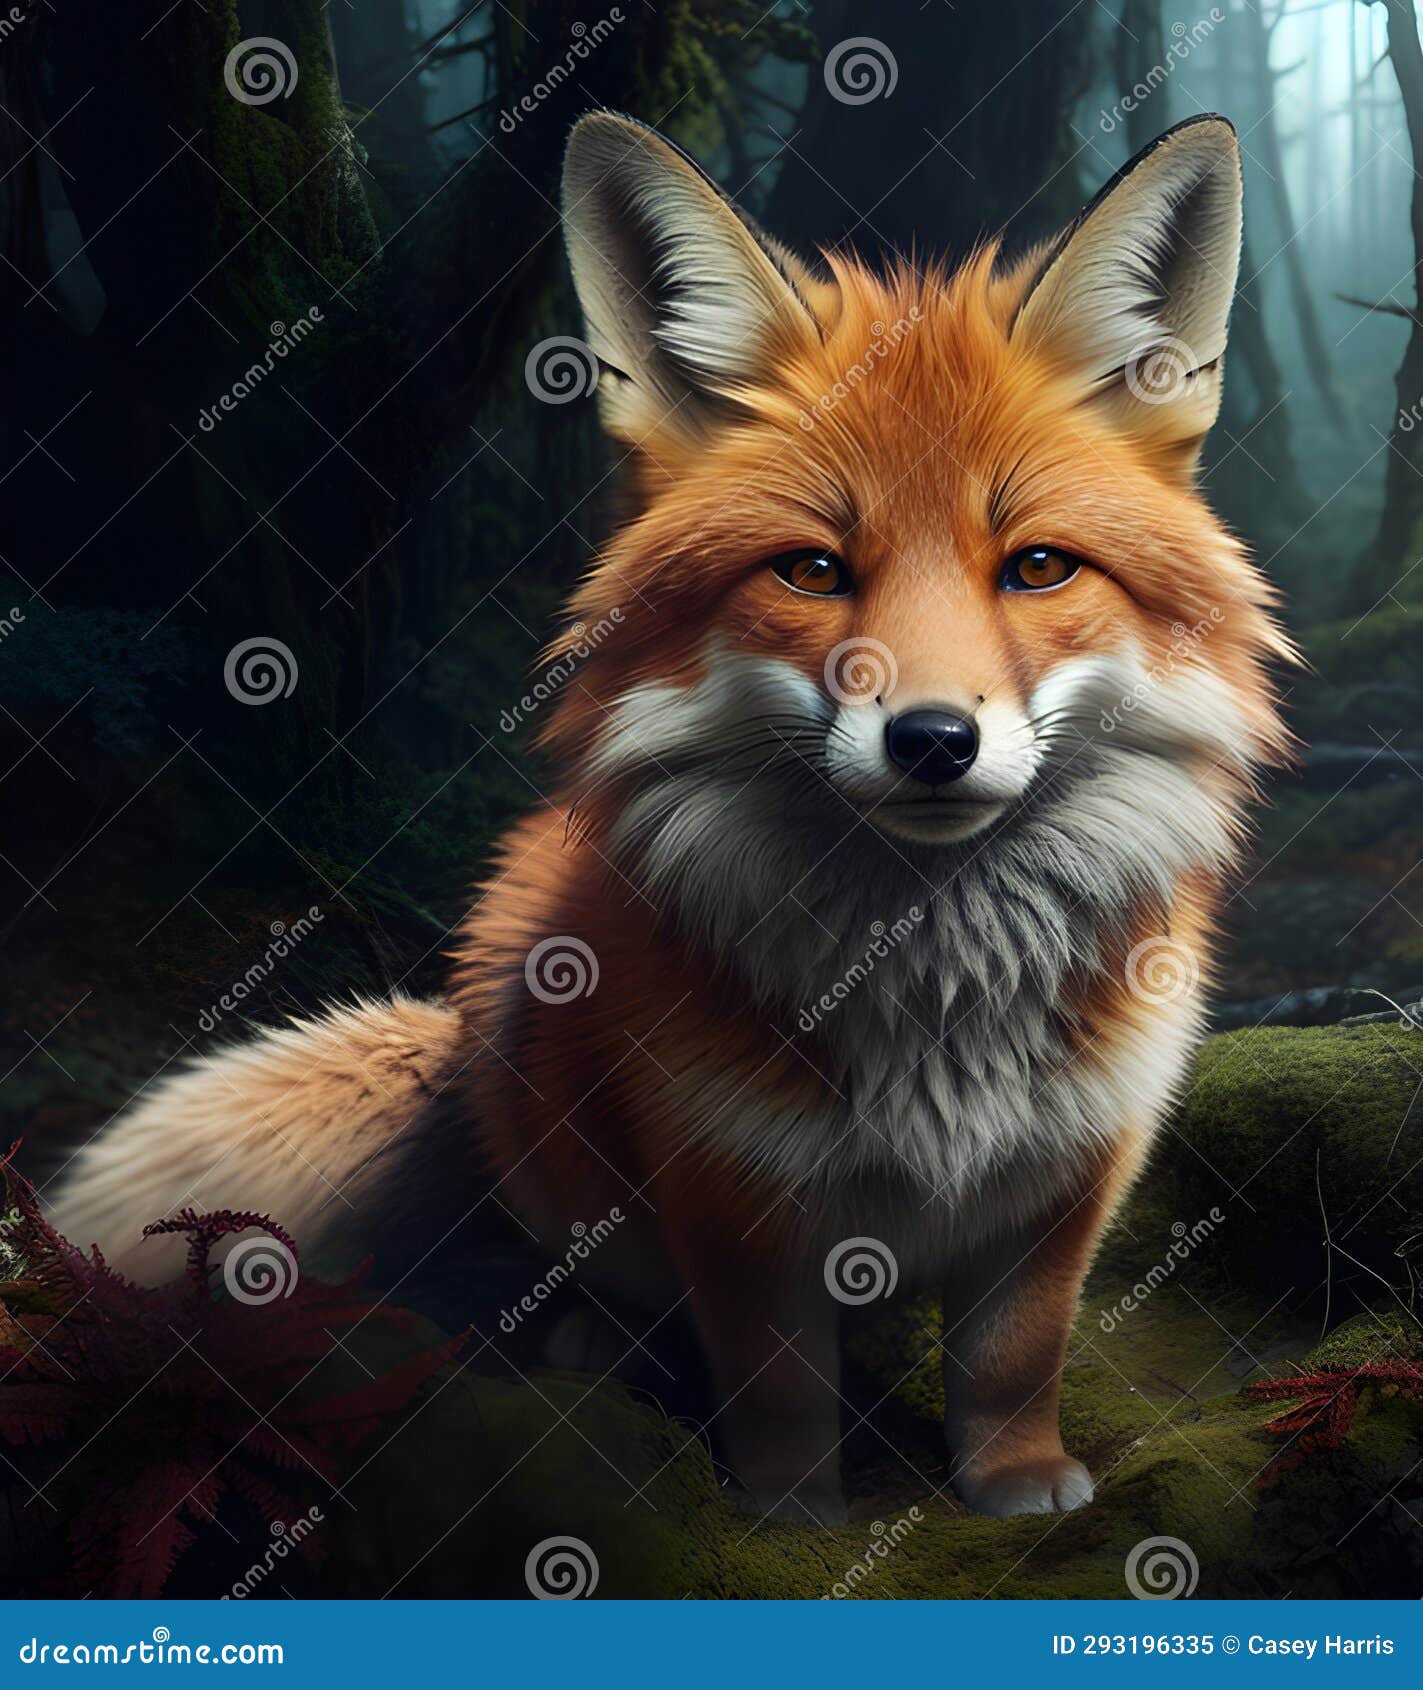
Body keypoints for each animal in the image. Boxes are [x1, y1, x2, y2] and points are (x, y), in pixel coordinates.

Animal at [49, 111, 1290, 1525]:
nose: (931, 741)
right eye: (811, 570)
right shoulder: (725, 1186)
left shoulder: (1075, 1166)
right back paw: (603, 1345)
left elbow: (1016, 1351)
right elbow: (778, 1382)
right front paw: (795, 1516)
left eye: (1036, 567)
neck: (927, 997)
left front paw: (1014, 1479)